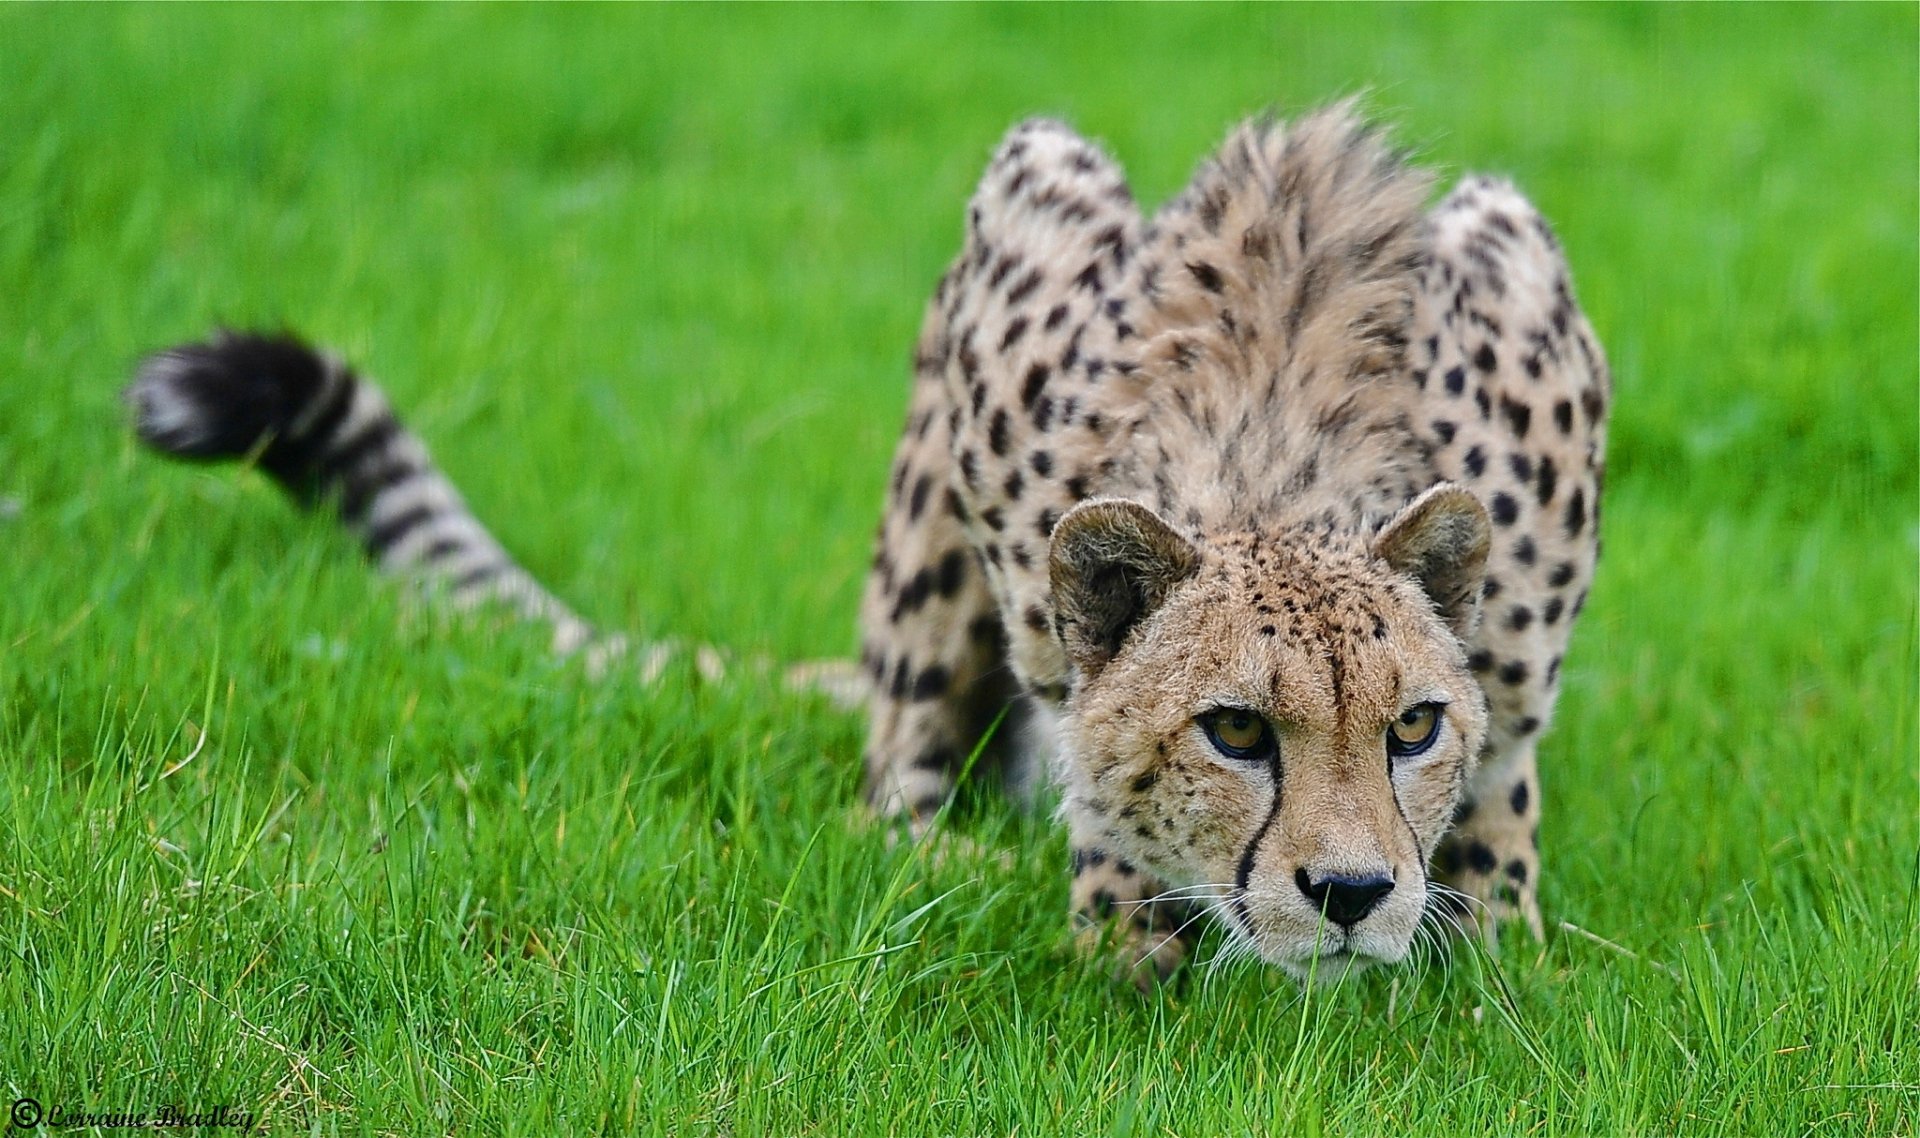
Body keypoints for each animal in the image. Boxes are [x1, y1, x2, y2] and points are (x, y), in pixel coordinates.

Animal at [125, 100, 1607, 988]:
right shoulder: (1023, 224)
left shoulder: (1523, 274)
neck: (1282, 470)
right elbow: (1084, 769)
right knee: (893, 785)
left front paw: (1485, 947)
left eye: (1412, 726)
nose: (1352, 891)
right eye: (1237, 730)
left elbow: (1506, 796)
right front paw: (1122, 935)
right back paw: (971, 854)